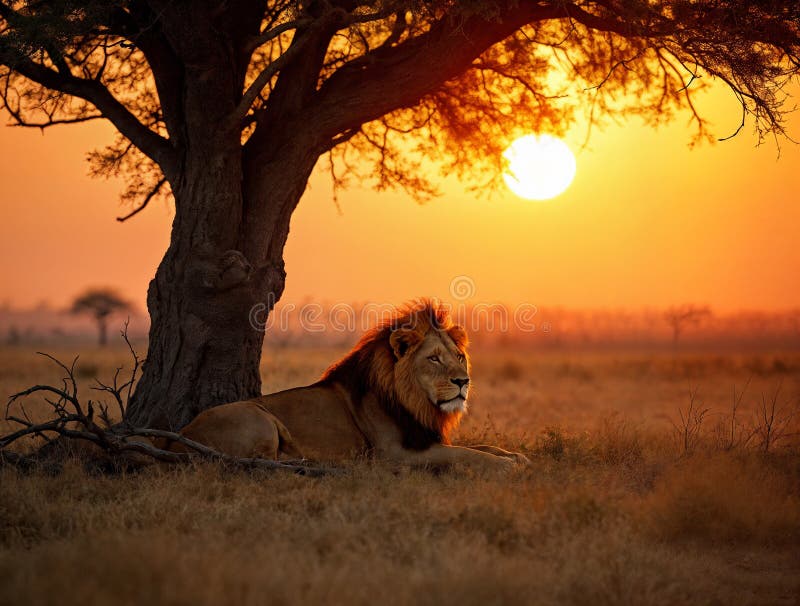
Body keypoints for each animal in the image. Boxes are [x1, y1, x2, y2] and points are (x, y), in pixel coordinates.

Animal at [167, 300, 528, 470]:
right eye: (434, 359)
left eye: (459, 357)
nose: (463, 381)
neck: (414, 401)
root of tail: (177, 438)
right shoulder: (394, 454)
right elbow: (464, 455)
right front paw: (506, 466)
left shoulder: (424, 437)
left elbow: (479, 447)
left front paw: (515, 456)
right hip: (258, 418)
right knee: (259, 465)